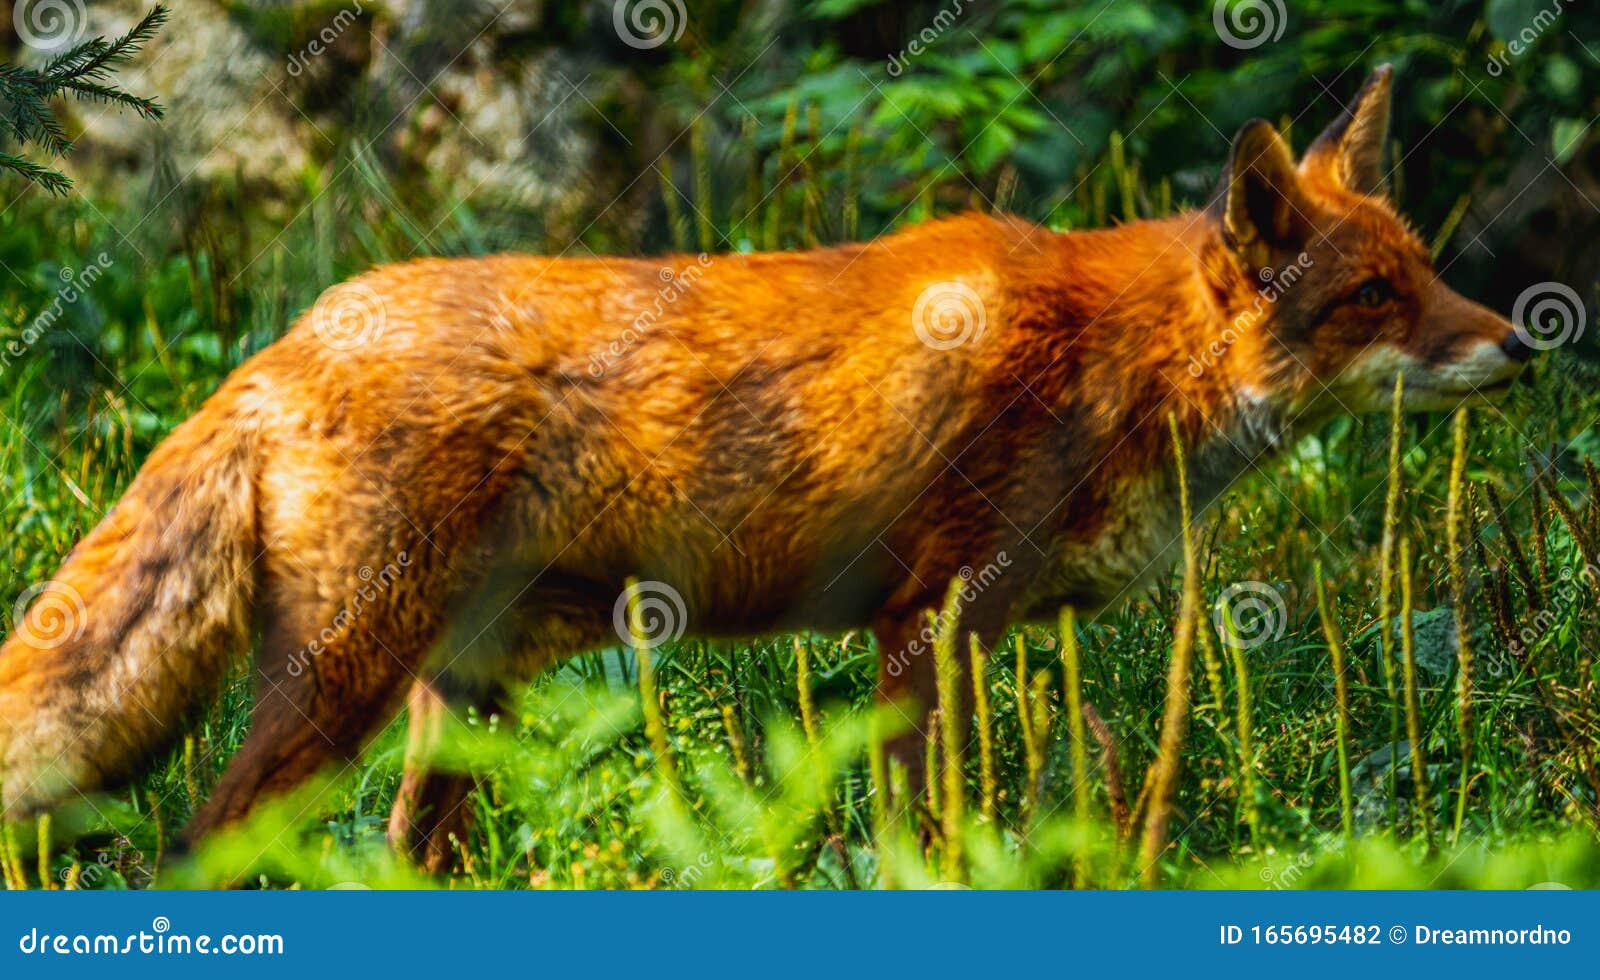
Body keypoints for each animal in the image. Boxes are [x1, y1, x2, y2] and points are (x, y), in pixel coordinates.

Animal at [0, 66, 1529, 872]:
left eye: (1428, 273)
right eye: (1375, 298)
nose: (1525, 341)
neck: (1120, 361)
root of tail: (302, 326)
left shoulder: (977, 634)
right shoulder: (930, 624)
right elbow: (926, 828)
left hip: (460, 702)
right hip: (336, 690)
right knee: (199, 842)